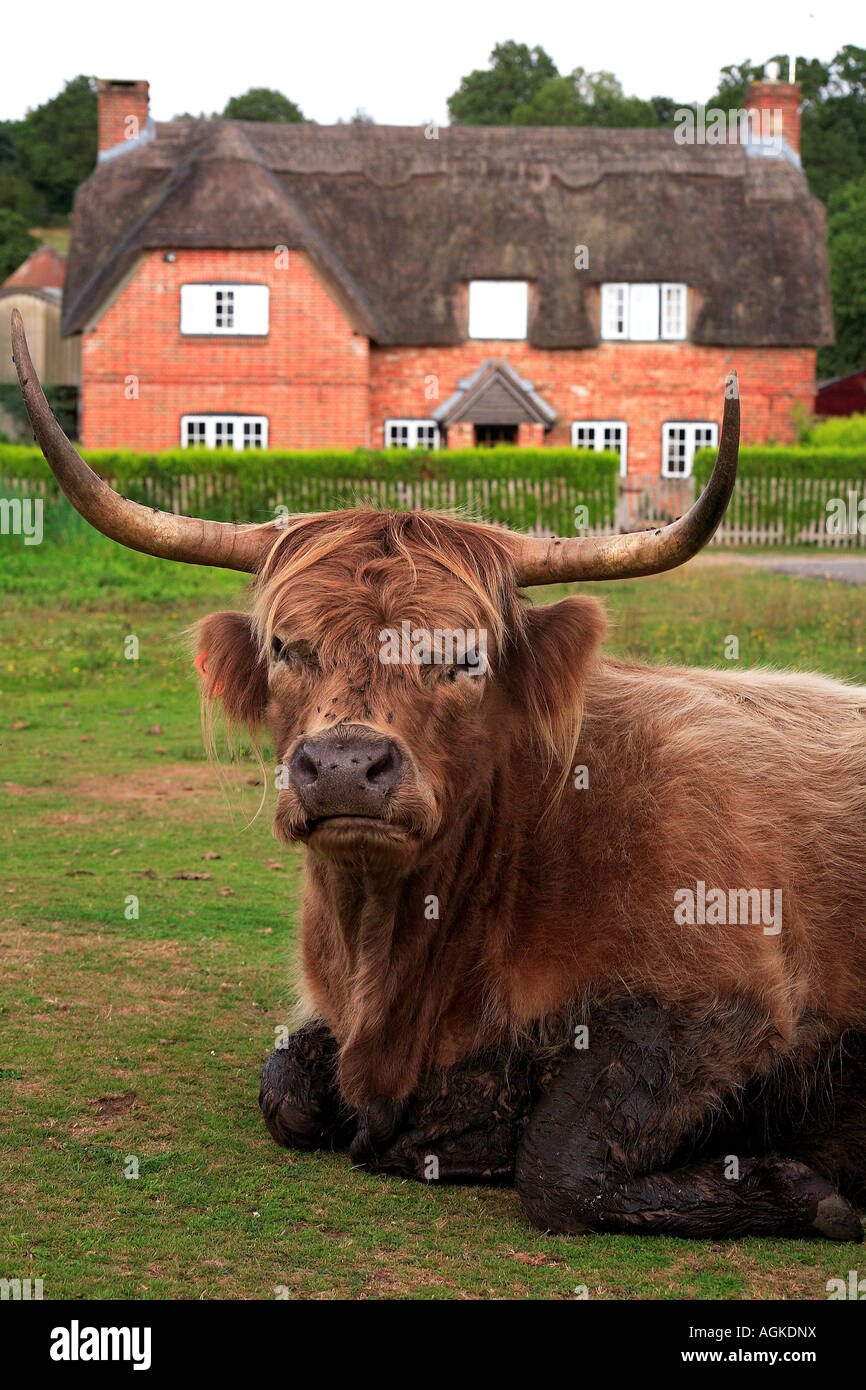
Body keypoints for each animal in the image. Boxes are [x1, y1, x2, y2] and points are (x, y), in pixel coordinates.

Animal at [12, 308, 866, 1242]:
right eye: (284, 647)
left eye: (464, 658)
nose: (344, 765)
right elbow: (286, 1091)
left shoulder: (726, 1003)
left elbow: (560, 1163)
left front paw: (807, 1192)